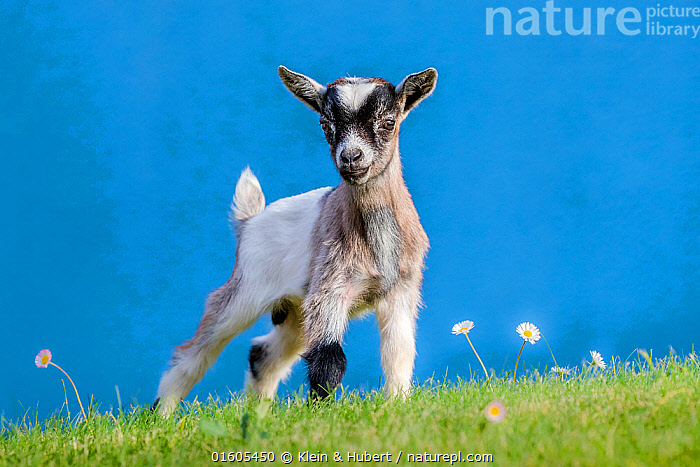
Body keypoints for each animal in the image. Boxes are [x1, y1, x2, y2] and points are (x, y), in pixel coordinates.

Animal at [154, 66, 437, 415]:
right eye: (325, 124)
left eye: (388, 122)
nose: (351, 157)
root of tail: (248, 223)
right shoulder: (329, 289)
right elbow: (330, 359)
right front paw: (322, 415)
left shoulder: (400, 290)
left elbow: (399, 352)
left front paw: (398, 405)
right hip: (244, 291)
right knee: (196, 350)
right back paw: (162, 414)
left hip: (293, 311)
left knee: (262, 355)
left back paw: (257, 414)